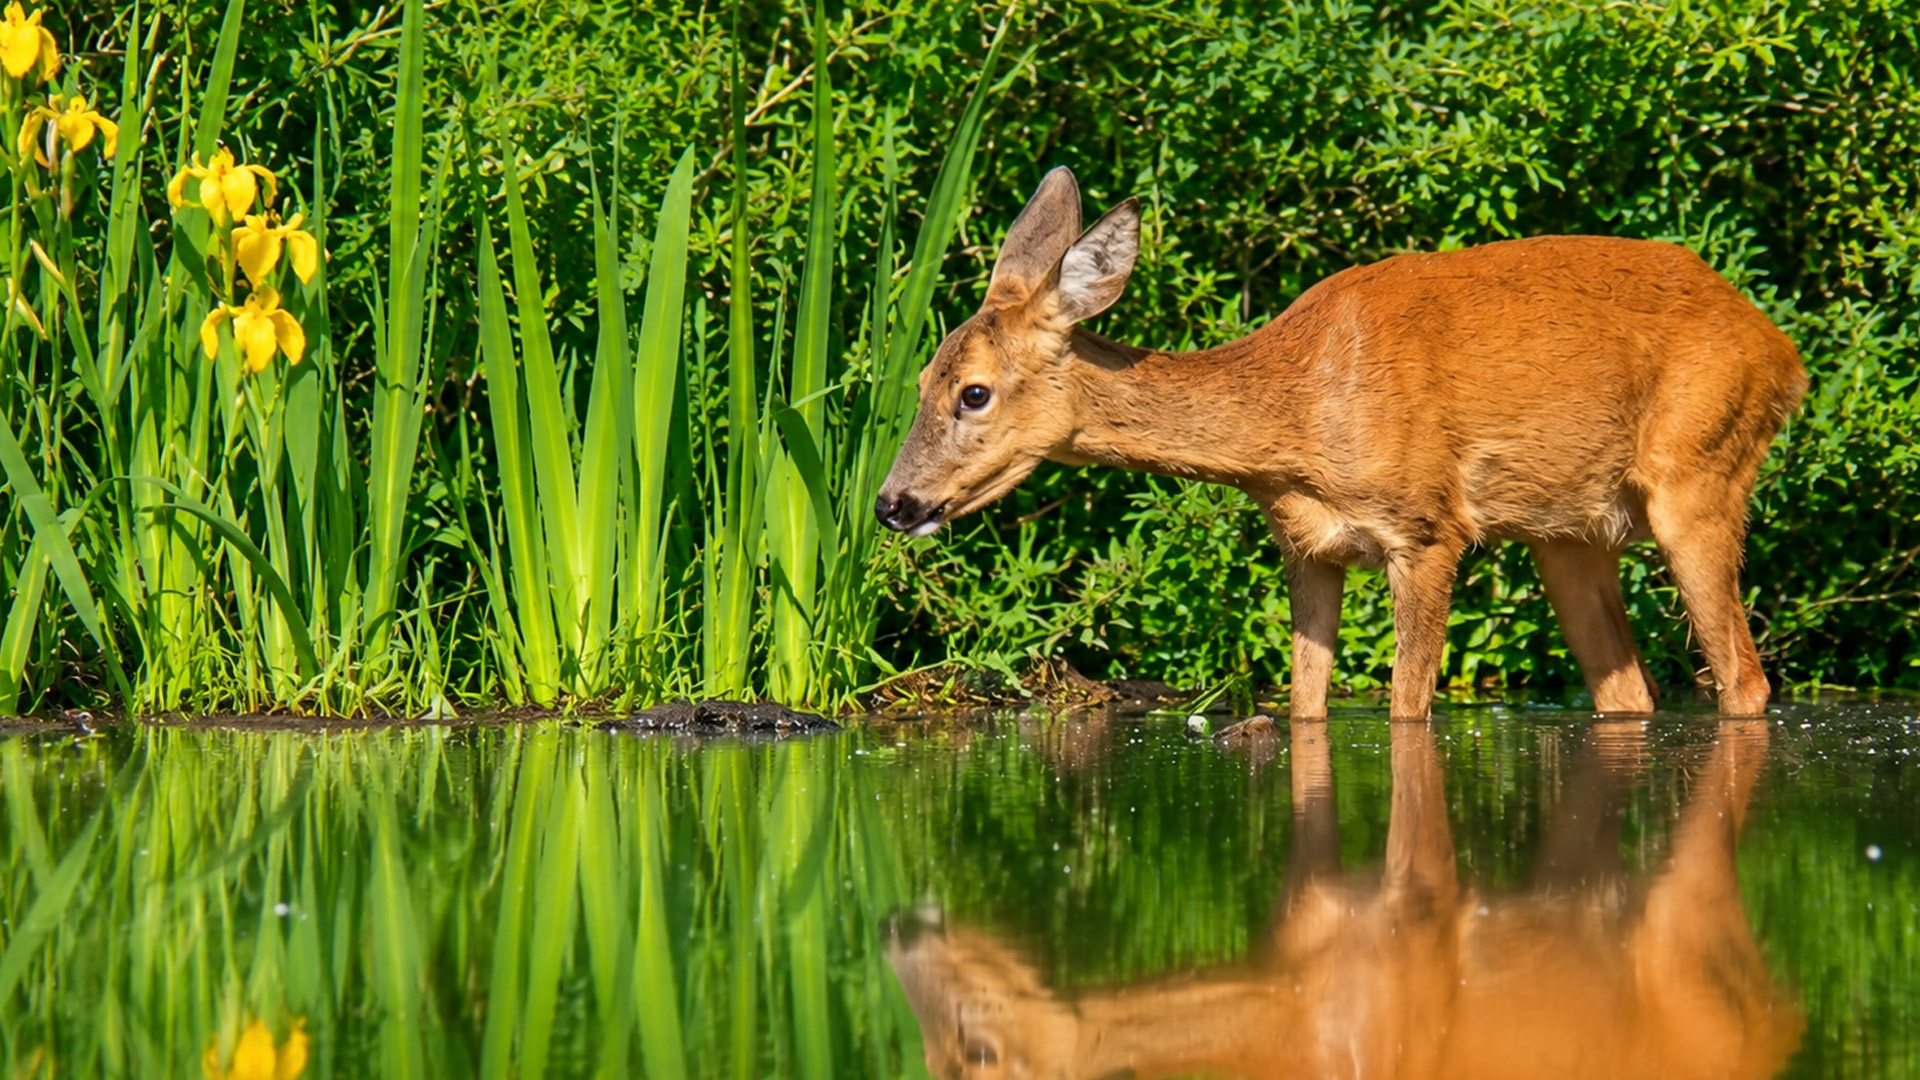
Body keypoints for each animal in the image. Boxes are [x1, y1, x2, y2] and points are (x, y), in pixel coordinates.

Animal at [874, 168, 1808, 720]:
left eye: (973, 392)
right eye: (918, 383)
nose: (892, 503)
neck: (1295, 422)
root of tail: (1782, 353)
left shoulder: (1429, 528)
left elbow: (1405, 707)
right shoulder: (1307, 548)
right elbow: (1306, 704)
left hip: (1701, 470)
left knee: (1744, 677)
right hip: (1569, 537)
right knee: (1629, 691)